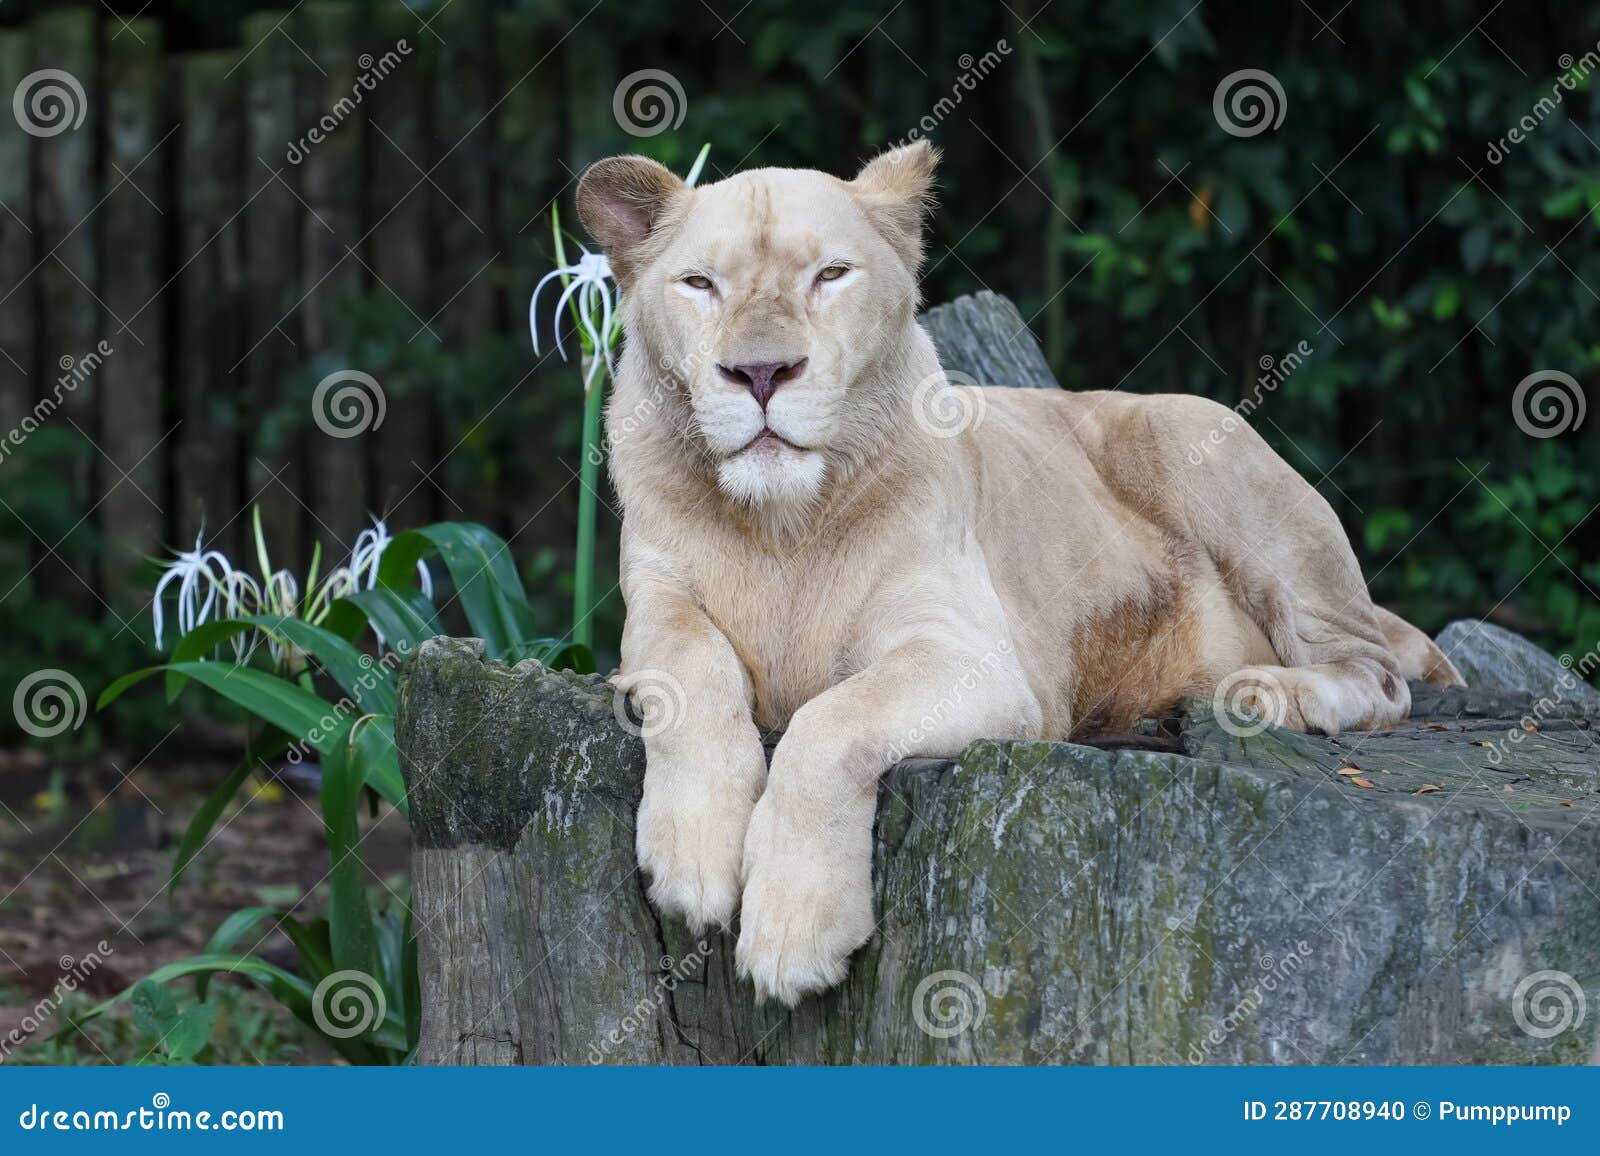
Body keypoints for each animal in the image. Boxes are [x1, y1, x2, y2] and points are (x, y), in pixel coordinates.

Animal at [575, 141, 1464, 1006]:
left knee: (1379, 677)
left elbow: (829, 723)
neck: (783, 527)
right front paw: (693, 858)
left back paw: (1270, 694)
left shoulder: (983, 665)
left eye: (830, 274)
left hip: (1198, 443)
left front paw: (794, 931)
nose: (761, 374)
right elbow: (691, 668)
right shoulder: (655, 602)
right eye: (700, 284)